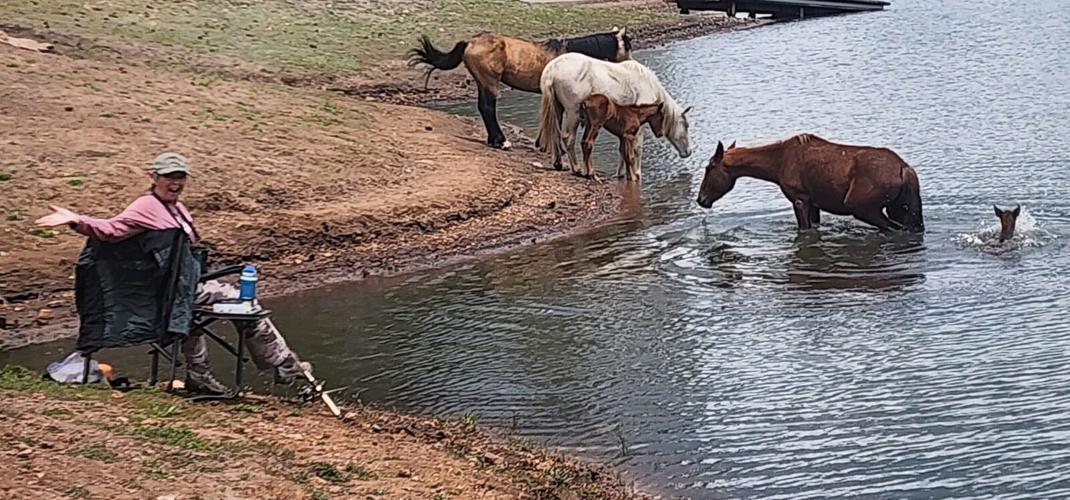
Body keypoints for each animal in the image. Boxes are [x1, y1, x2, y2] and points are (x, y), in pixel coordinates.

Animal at [408, 29, 632, 150]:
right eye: (628, 45)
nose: (630, 64)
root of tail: (470, 42)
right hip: (489, 81)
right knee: (487, 108)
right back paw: (501, 142)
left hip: (483, 82)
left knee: (484, 108)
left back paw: (494, 140)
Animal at [536, 52, 692, 180]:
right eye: (686, 125)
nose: (688, 152)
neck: (648, 85)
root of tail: (552, 70)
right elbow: (637, 148)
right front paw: (637, 173)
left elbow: (623, 150)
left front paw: (622, 173)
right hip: (572, 112)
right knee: (568, 137)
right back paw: (577, 168)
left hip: (558, 109)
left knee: (555, 134)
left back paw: (559, 164)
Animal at [696, 134, 924, 232]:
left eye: (709, 168)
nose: (701, 199)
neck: (776, 166)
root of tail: (905, 169)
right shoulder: (813, 203)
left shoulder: (800, 199)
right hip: (900, 208)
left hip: (863, 208)